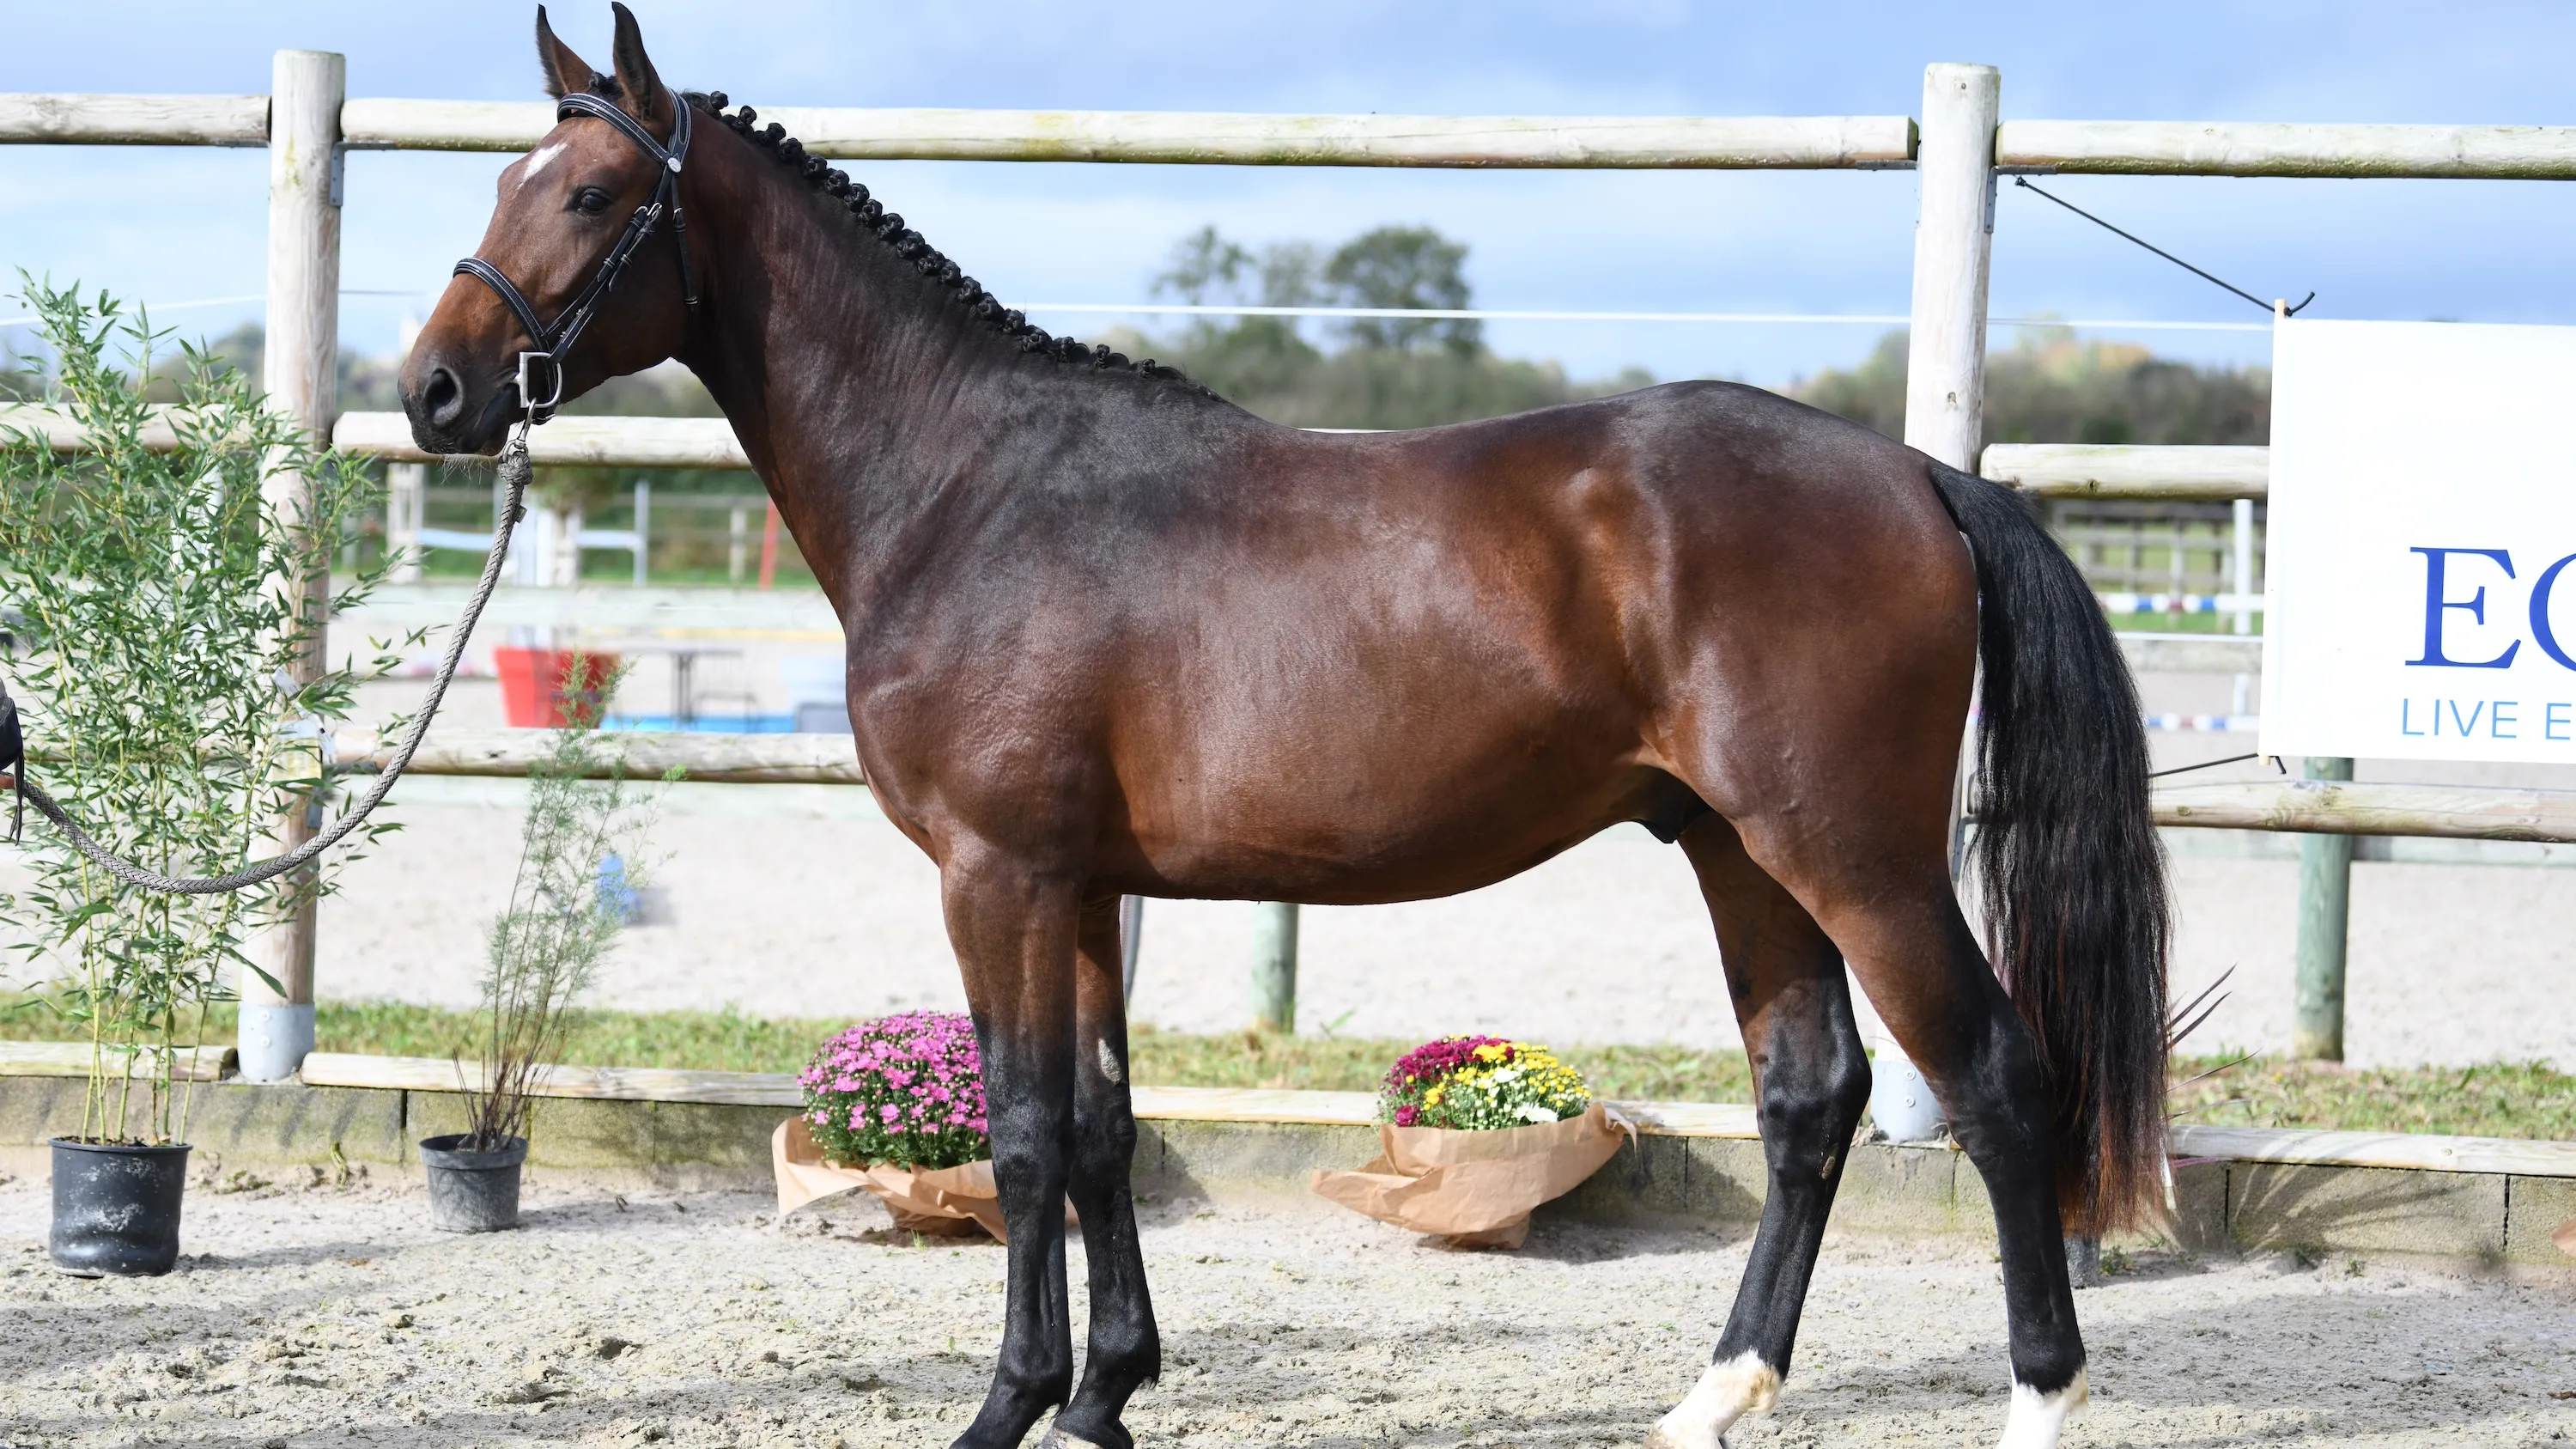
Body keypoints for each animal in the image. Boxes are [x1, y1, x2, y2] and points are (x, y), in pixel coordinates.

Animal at [401, 9, 2170, 1447]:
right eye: (495, 181)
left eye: (590, 196)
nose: (434, 393)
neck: (968, 487)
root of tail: (1916, 476)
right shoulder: (1085, 887)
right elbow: (1104, 1127)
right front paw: (1107, 1393)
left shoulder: (998, 876)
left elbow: (1026, 1133)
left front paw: (1012, 1402)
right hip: (1739, 851)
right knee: (1809, 1097)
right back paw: (1712, 1395)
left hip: (1852, 855)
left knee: (1998, 1079)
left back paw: (2038, 1395)